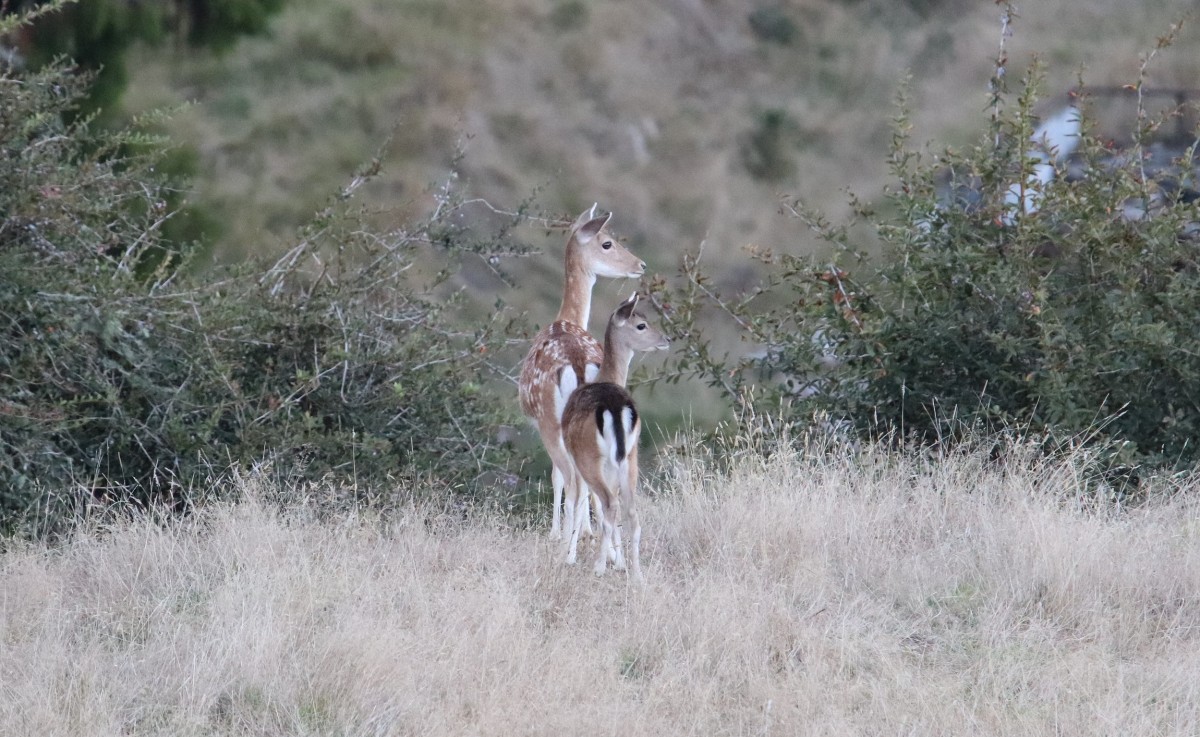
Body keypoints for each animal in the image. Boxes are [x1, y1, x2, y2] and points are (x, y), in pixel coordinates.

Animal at [518, 205, 646, 540]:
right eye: (607, 243)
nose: (641, 264)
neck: (568, 318)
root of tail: (576, 365)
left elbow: (557, 477)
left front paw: (558, 531)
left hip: (549, 421)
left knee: (568, 477)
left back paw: (565, 535)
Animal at [555, 293, 669, 581]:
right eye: (641, 324)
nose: (666, 339)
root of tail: (617, 409)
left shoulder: (576, 458)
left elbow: (578, 500)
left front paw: (568, 556)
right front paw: (618, 561)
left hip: (591, 458)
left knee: (608, 504)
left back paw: (598, 567)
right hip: (630, 458)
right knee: (630, 512)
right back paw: (637, 575)